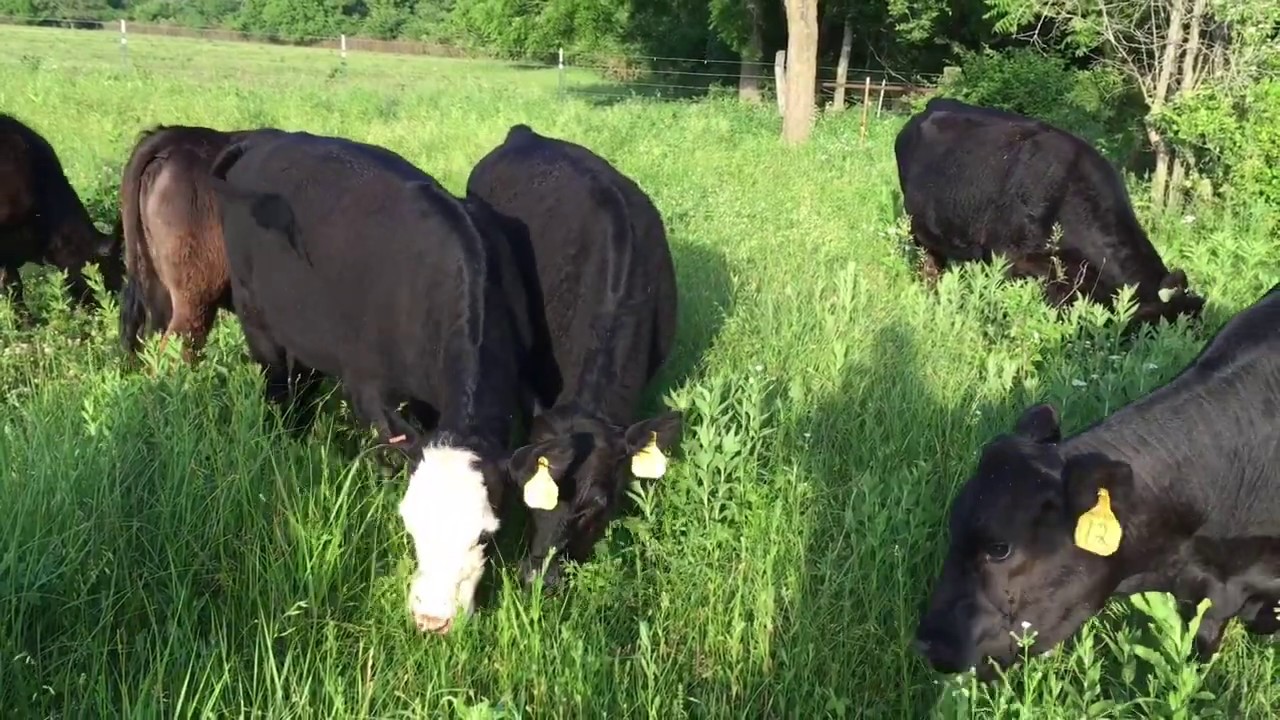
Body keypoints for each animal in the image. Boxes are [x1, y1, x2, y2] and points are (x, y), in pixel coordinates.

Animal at [207, 128, 535, 636]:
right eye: (409, 523)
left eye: (484, 534)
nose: (432, 619)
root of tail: (267, 139)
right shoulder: (369, 392)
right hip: (256, 317)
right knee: (278, 390)